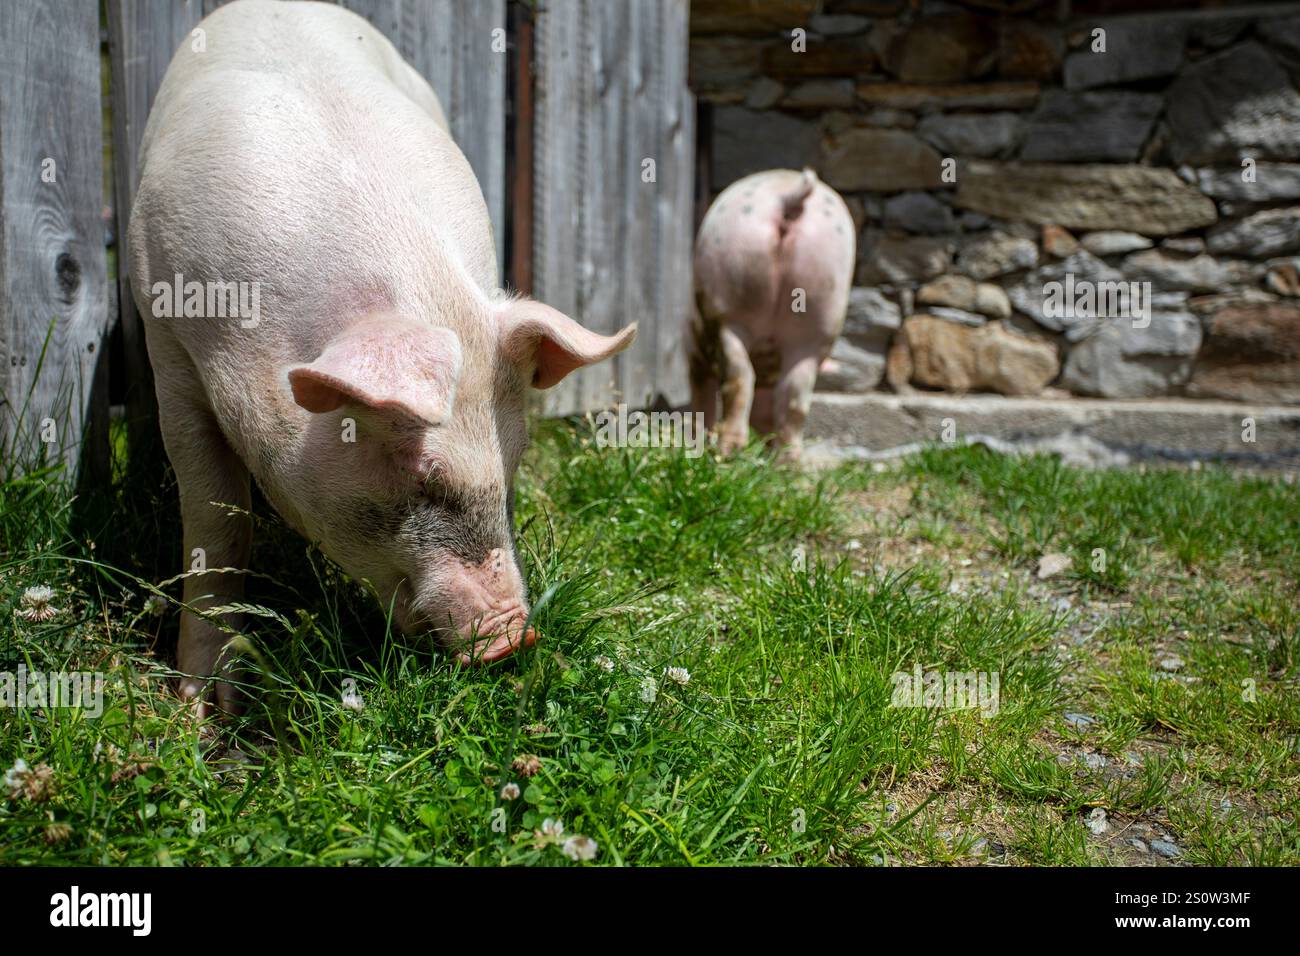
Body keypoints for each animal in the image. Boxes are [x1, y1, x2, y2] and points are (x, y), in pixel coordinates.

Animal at [128, 0, 635, 714]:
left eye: (512, 461)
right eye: (420, 474)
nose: (515, 637)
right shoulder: (169, 343)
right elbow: (218, 526)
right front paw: (204, 714)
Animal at [687, 168, 855, 460]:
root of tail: (791, 196)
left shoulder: (694, 352)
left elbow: (702, 395)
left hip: (732, 295)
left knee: (738, 377)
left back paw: (726, 453)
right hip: (821, 312)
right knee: (794, 397)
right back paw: (787, 463)